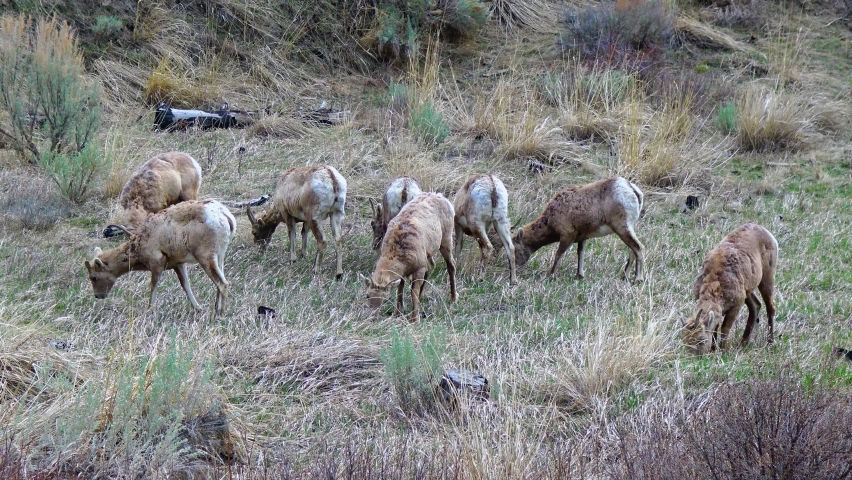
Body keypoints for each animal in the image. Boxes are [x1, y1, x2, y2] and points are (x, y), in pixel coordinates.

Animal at [84, 200, 236, 316]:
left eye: (94, 277)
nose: (98, 296)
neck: (139, 243)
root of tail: (224, 215)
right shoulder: (179, 265)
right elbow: (186, 286)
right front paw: (198, 309)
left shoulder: (156, 264)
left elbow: (153, 286)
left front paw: (149, 310)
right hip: (219, 256)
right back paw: (216, 309)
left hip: (205, 257)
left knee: (222, 284)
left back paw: (219, 314)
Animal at [512, 177, 645, 281]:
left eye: (515, 250)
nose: (516, 268)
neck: (551, 217)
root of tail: (631, 189)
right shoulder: (582, 238)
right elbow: (580, 253)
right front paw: (579, 276)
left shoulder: (567, 235)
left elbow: (558, 254)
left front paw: (550, 275)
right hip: (627, 229)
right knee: (632, 250)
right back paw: (624, 277)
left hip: (622, 229)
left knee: (638, 248)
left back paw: (638, 279)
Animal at [682, 223, 778, 354]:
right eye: (684, 340)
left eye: (701, 340)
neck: (715, 283)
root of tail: (767, 233)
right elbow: (715, 327)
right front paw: (713, 349)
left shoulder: (736, 305)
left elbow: (725, 327)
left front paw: (723, 351)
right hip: (748, 290)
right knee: (756, 306)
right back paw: (743, 343)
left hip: (767, 277)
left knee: (770, 308)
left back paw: (770, 343)